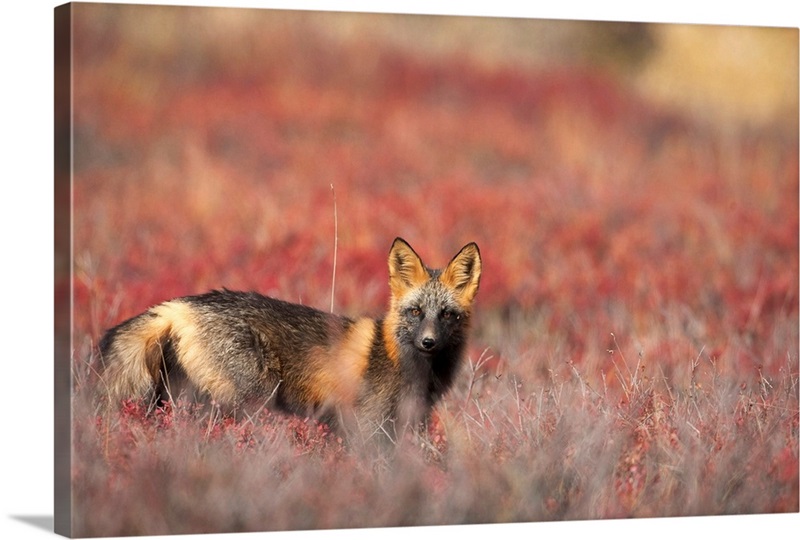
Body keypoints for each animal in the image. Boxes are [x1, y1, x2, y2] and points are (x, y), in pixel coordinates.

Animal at [97, 237, 481, 438]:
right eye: (415, 312)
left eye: (447, 314)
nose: (428, 342)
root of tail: (178, 305)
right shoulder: (367, 426)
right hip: (247, 399)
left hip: (174, 397)